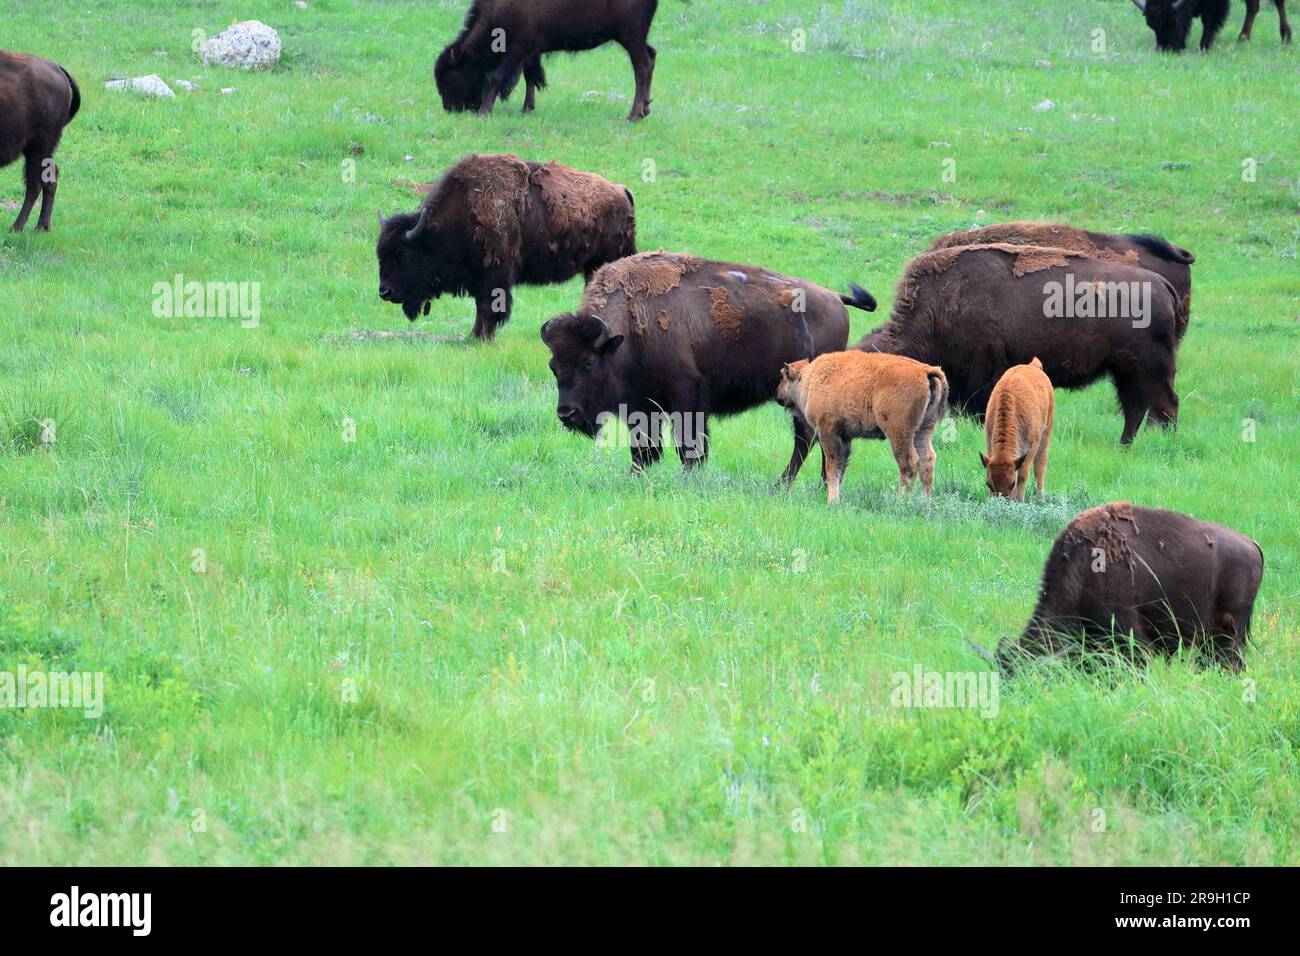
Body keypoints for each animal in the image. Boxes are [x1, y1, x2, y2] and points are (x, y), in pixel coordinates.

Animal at [0, 50, 80, 232]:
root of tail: (58, 68)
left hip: (38, 147)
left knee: (36, 183)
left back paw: (18, 227)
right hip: (40, 149)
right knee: (50, 177)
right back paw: (42, 226)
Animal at [376, 153, 636, 340]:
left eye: (403, 255)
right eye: (381, 255)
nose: (384, 292)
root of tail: (622, 191)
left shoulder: (496, 273)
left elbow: (488, 306)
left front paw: (482, 338)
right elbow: (480, 306)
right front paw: (474, 336)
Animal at [435, 0, 665, 121]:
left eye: (450, 77)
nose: (449, 107)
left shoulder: (518, 49)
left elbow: (497, 77)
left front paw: (484, 111)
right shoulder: (530, 52)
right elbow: (530, 77)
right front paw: (527, 108)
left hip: (630, 37)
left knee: (642, 67)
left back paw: (633, 115)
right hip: (633, 38)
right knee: (651, 56)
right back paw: (645, 109)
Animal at [540, 251, 877, 478]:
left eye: (588, 362)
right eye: (554, 366)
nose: (566, 413)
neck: (630, 328)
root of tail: (835, 297)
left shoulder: (686, 396)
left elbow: (688, 446)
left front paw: (688, 478)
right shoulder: (641, 404)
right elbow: (644, 448)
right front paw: (636, 477)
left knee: (808, 439)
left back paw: (786, 485)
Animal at [857, 244, 1183, 444]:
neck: (944, 305)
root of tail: (1162, 284)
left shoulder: (982, 375)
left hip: (1151, 368)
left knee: (1165, 404)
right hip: (1125, 370)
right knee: (1135, 408)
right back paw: (1124, 445)